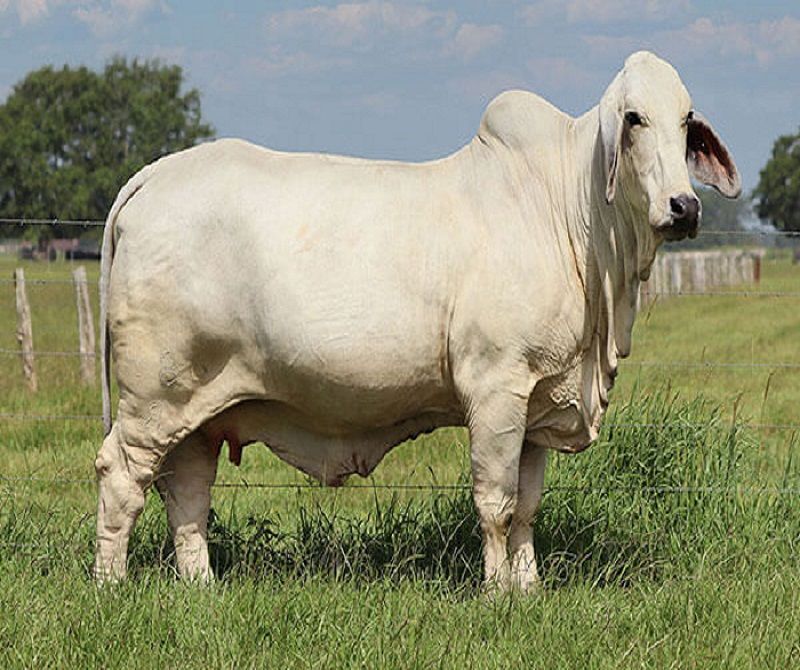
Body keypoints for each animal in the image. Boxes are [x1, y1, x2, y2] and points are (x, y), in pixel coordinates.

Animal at [94, 51, 740, 591]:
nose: (685, 207)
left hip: (196, 407)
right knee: (121, 475)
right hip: (152, 394)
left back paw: (201, 587)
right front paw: (496, 593)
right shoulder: (497, 388)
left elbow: (528, 507)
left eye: (686, 121)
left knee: (187, 492)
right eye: (633, 119)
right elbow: (497, 503)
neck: (570, 215)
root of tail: (154, 175)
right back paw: (109, 585)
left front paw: (529, 590)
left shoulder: (541, 397)